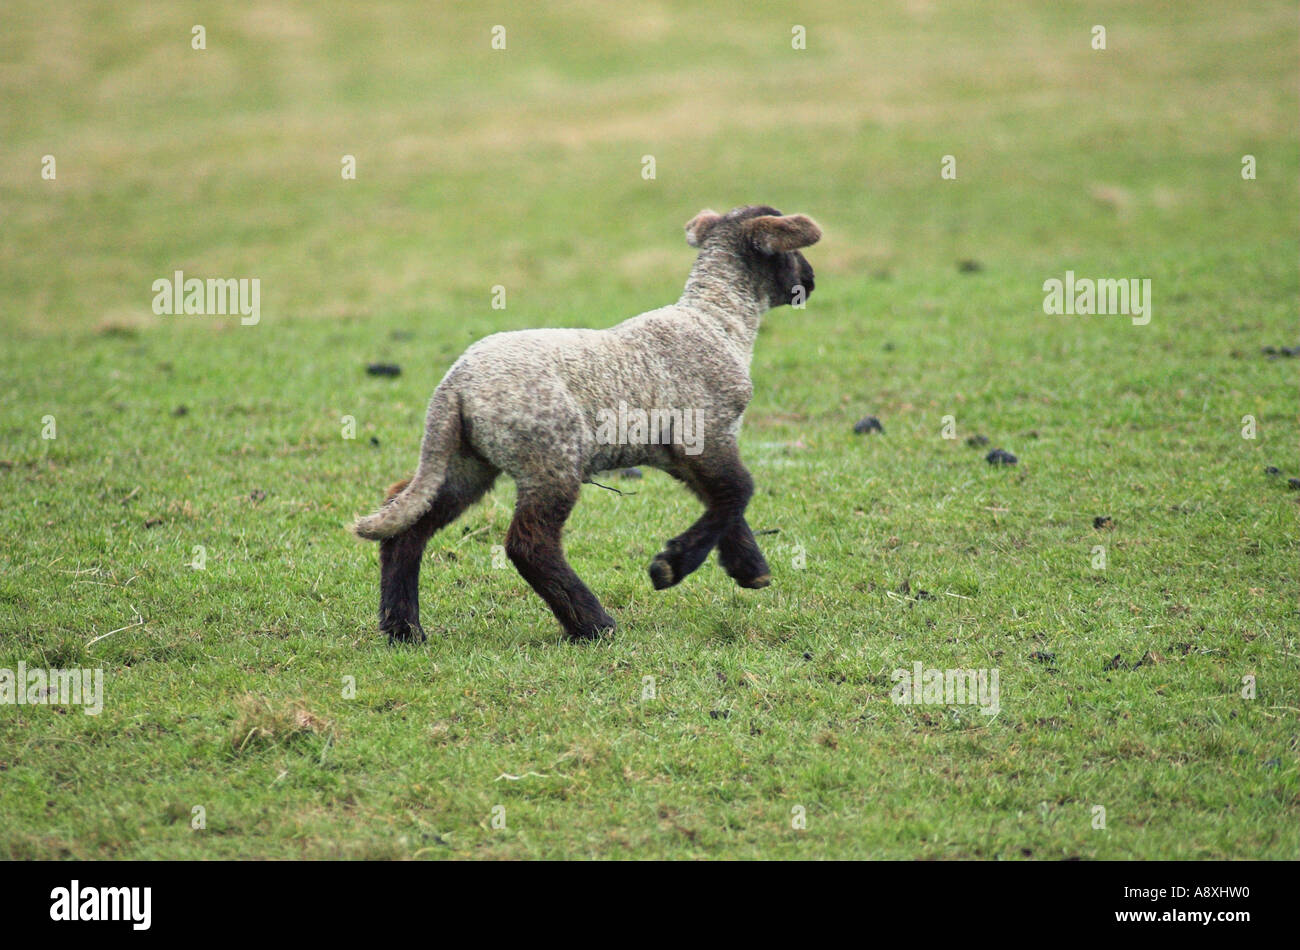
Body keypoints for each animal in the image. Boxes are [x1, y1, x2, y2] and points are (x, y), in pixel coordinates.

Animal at [352, 204, 821, 643]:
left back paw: (404, 629)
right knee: (529, 545)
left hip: (463, 461)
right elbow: (738, 491)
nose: (811, 280)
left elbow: (724, 501)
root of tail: (454, 387)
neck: (719, 321)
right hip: (549, 460)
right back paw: (593, 624)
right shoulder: (706, 433)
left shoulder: (680, 453)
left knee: (405, 526)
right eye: (791, 251)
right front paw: (670, 567)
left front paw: (748, 568)